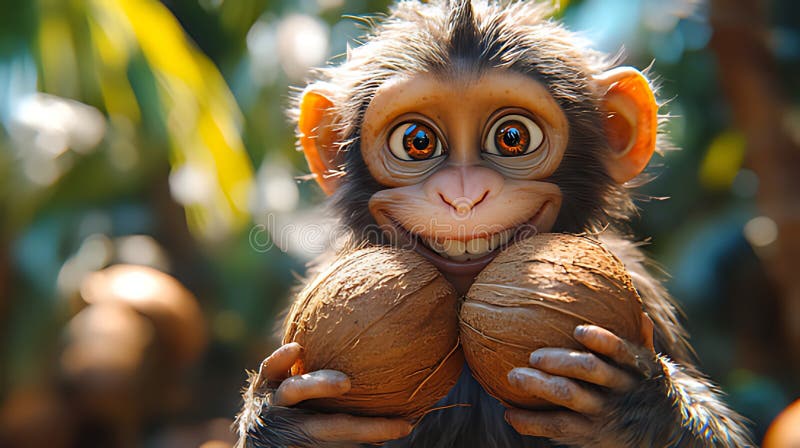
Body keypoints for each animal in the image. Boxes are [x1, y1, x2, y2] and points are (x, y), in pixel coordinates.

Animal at [235, 1, 755, 447]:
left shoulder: (643, 297)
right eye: (418, 141)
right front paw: (288, 421)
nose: (464, 195)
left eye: (512, 137)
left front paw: (633, 401)